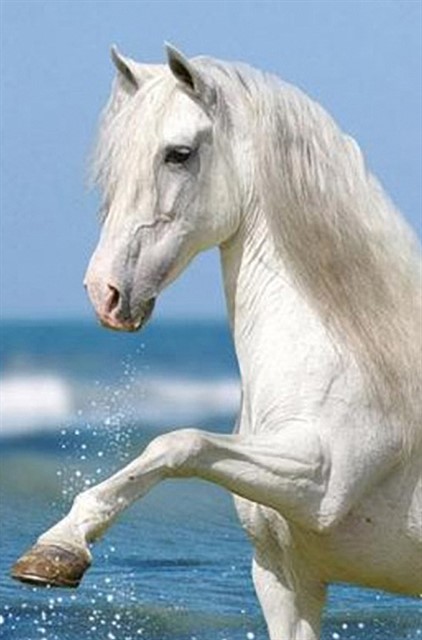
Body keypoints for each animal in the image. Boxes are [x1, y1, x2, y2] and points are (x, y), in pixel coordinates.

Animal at [12, 45, 422, 640]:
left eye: (178, 154)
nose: (103, 292)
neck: (344, 352)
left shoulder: (322, 481)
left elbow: (178, 443)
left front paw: (60, 548)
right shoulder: (282, 577)